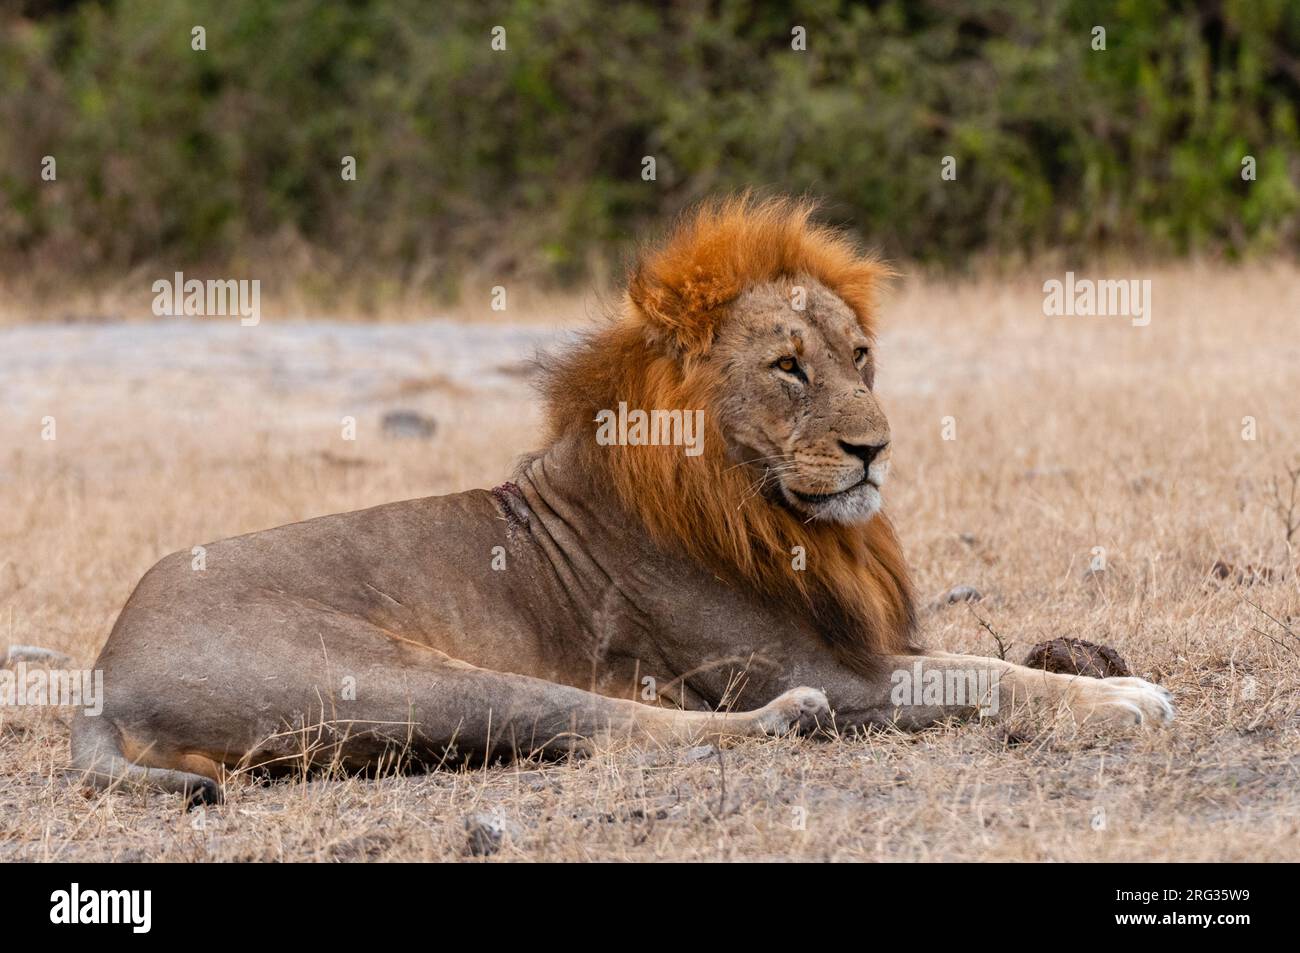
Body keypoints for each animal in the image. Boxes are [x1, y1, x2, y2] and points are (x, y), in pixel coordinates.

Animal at [71, 196, 1173, 805]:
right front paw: (1120, 695)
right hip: (401, 677)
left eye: (859, 356)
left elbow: (991, 655)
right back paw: (784, 724)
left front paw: (1101, 669)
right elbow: (982, 677)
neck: (758, 502)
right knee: (608, 723)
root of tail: (101, 672)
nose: (875, 449)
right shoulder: (815, 664)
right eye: (788, 367)